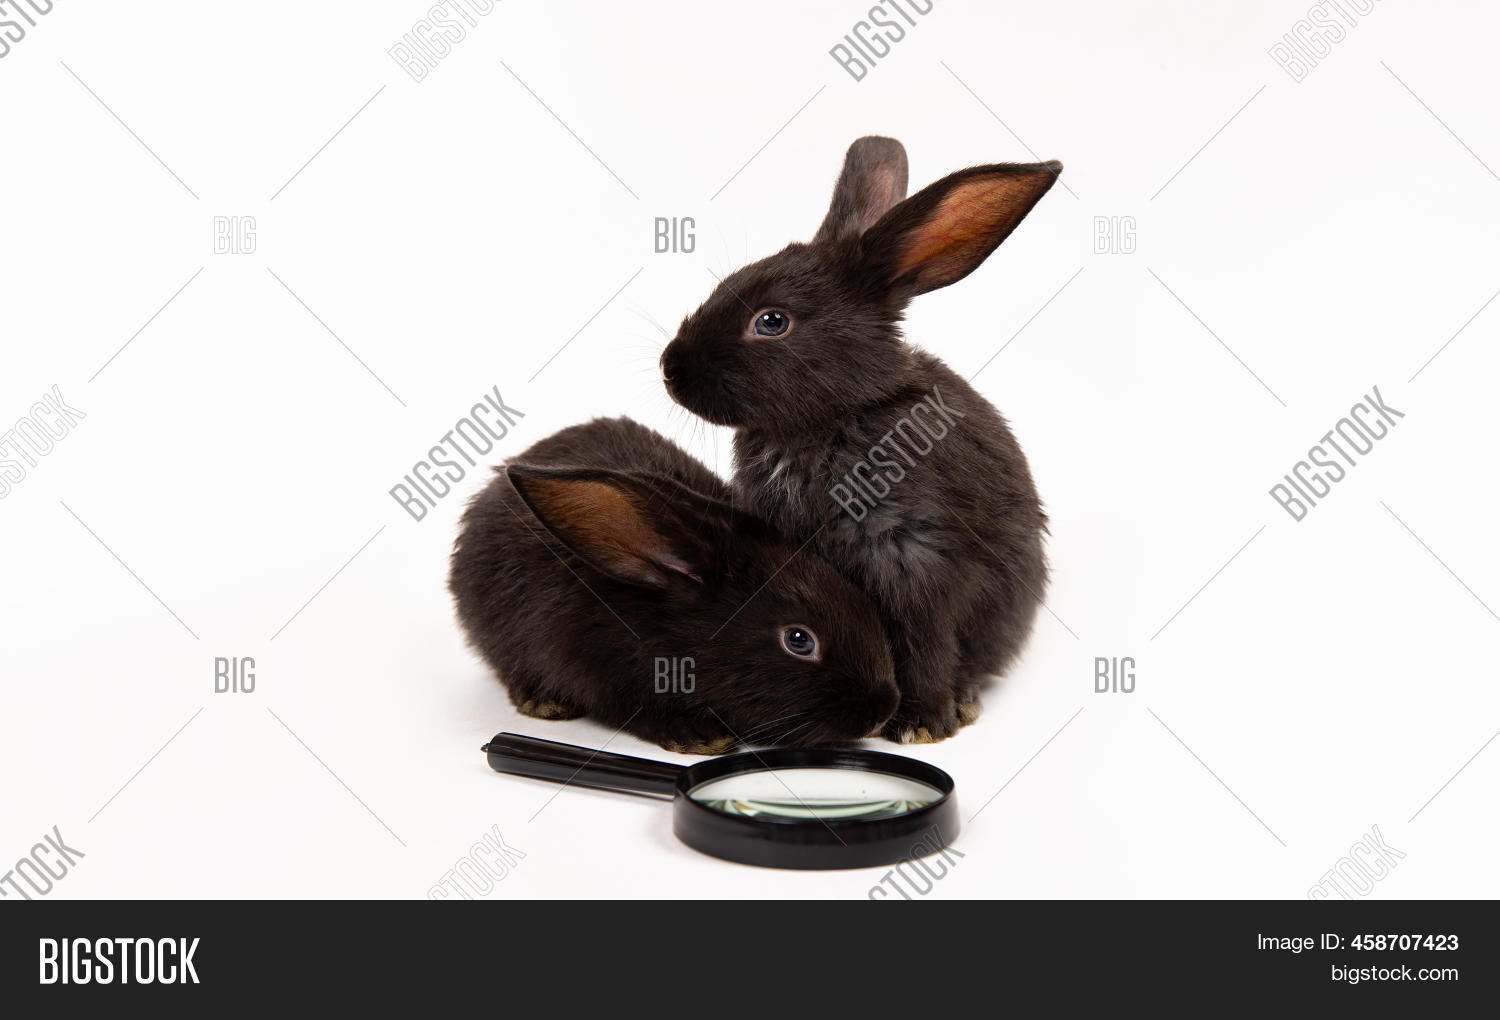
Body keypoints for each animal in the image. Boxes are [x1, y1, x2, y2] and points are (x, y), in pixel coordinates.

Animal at [659, 136, 1060, 744]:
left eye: (771, 321)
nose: (670, 369)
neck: (836, 417)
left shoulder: (915, 565)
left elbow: (925, 647)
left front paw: (921, 725)